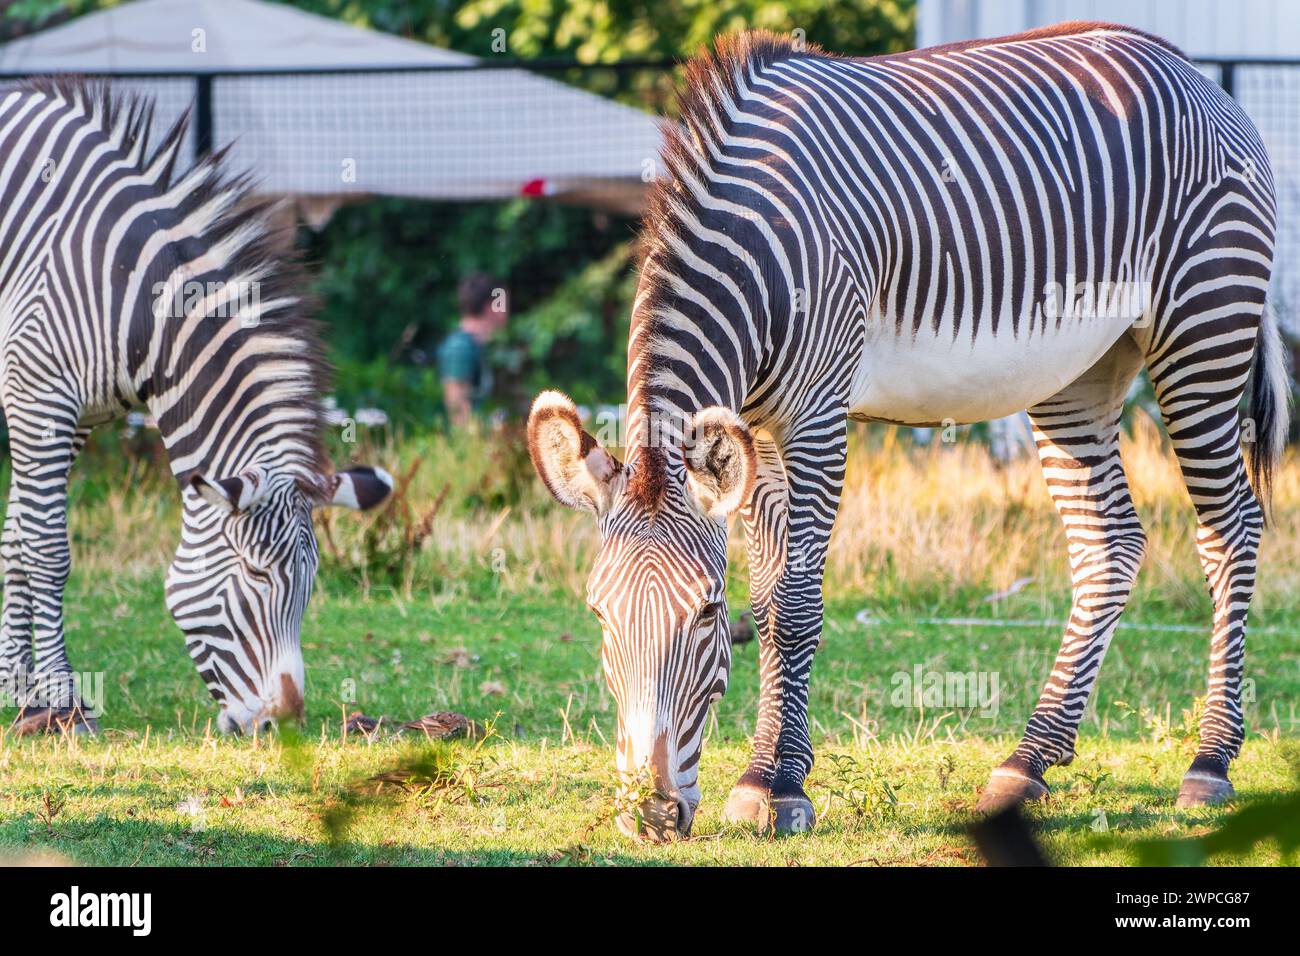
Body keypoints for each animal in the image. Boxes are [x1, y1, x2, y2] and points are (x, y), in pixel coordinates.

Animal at [0, 79, 392, 735]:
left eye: (312, 583)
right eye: (257, 574)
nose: (282, 725)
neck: (133, 299)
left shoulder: (74, 416)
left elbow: (15, 543)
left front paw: (22, 695)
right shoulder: (37, 398)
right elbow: (45, 550)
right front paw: (63, 703)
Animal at [527, 22, 1289, 840]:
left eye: (704, 613)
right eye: (598, 613)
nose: (654, 816)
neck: (757, 247)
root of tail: (1189, 68)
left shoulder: (818, 414)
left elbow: (794, 605)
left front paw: (778, 785)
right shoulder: (757, 429)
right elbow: (766, 599)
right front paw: (762, 774)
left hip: (1204, 324)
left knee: (1231, 530)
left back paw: (1209, 762)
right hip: (1081, 370)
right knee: (1108, 543)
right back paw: (1027, 764)